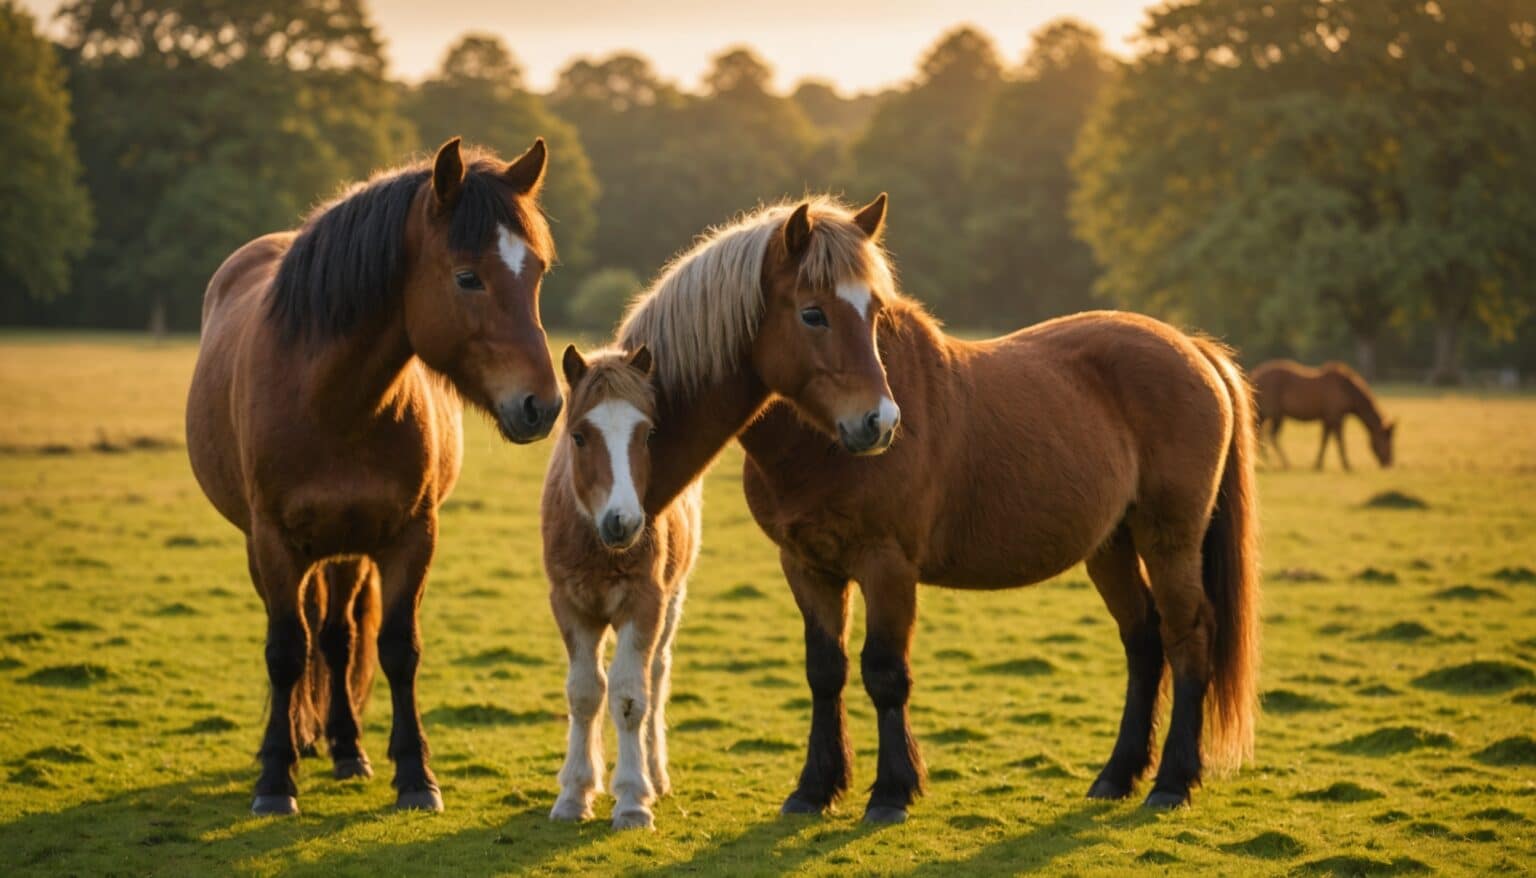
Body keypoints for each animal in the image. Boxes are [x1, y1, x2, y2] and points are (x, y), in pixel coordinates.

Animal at [186, 137, 562, 816]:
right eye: (468, 277)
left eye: (537, 271)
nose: (542, 405)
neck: (332, 401)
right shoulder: (274, 542)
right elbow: (286, 649)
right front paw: (275, 778)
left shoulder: (409, 537)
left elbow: (396, 648)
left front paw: (414, 774)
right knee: (306, 635)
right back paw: (296, 740)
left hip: (348, 549)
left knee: (336, 637)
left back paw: (344, 746)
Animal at [539, 194, 899, 830]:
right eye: (814, 314)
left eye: (650, 433)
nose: (882, 421)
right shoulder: (570, 603)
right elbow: (584, 692)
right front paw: (574, 795)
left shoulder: (645, 602)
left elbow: (629, 696)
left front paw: (632, 798)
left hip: (671, 602)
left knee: (655, 677)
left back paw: (653, 776)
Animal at [740, 305, 1262, 822]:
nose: (875, 425)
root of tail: (1194, 348)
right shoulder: (807, 567)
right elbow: (825, 671)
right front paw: (814, 790)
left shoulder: (887, 567)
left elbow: (885, 674)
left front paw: (891, 793)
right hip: (1111, 546)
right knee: (1144, 641)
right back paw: (1116, 776)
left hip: (1169, 540)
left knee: (1187, 637)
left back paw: (1172, 783)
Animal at [1252, 359, 1395, 470]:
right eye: (1387, 440)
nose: (1389, 463)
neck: (1347, 390)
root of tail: (1256, 375)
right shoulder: (1336, 418)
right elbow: (1340, 441)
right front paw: (1347, 465)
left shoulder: (1328, 419)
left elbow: (1324, 441)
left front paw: (1318, 464)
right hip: (1273, 414)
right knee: (1269, 436)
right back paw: (1283, 463)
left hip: (1270, 415)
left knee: (1262, 434)